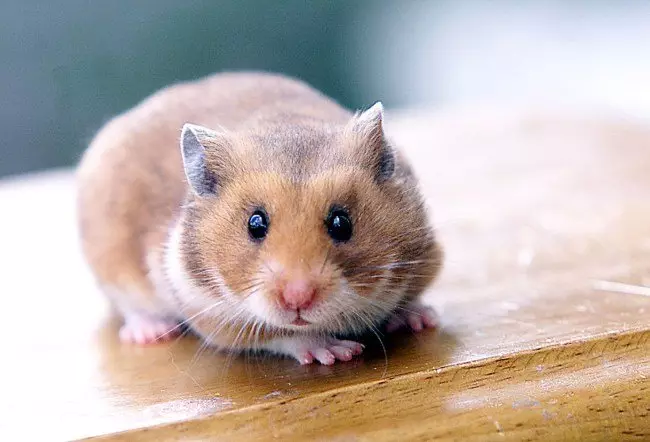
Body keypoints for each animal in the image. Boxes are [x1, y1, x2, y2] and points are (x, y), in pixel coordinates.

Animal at [74, 71, 440, 364]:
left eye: (341, 223)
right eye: (255, 224)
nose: (297, 299)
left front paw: (424, 319)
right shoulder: (209, 311)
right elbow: (282, 334)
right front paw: (338, 353)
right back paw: (151, 332)